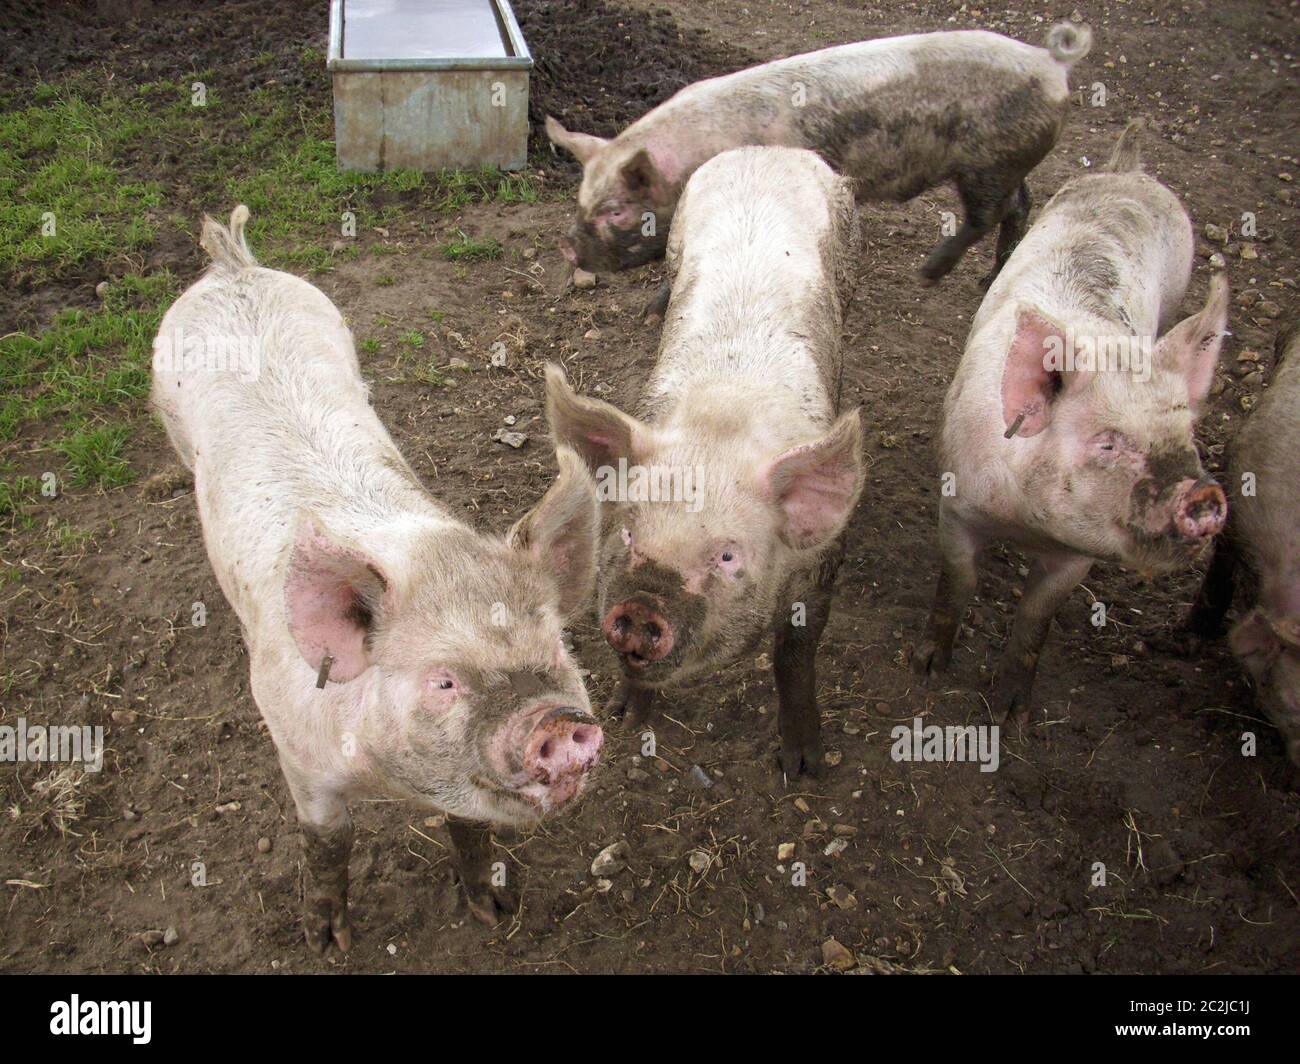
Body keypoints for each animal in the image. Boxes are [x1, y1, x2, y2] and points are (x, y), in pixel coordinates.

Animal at [151, 206, 603, 953]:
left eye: (558, 649)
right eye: (442, 682)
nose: (556, 719)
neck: (388, 781)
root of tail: (231, 266)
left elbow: (470, 829)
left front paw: (492, 912)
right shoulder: (296, 754)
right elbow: (326, 845)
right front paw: (325, 942)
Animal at [544, 147, 865, 776]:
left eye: (726, 555)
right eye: (626, 532)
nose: (643, 604)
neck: (722, 426)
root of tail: (768, 149)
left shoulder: (821, 565)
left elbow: (795, 656)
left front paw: (803, 767)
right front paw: (624, 717)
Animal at [546, 22, 1091, 287]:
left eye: (617, 211)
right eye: (580, 201)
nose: (566, 248)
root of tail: (1049, 61)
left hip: (988, 162)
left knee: (989, 214)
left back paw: (929, 274)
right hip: (1005, 162)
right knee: (1020, 207)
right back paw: (986, 281)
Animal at [913, 121, 1230, 721]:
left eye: (1190, 439)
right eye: (1106, 443)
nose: (1203, 494)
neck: (1024, 521)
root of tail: (1129, 168)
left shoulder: (1079, 555)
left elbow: (1036, 618)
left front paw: (1012, 714)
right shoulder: (957, 504)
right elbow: (957, 583)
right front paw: (928, 668)